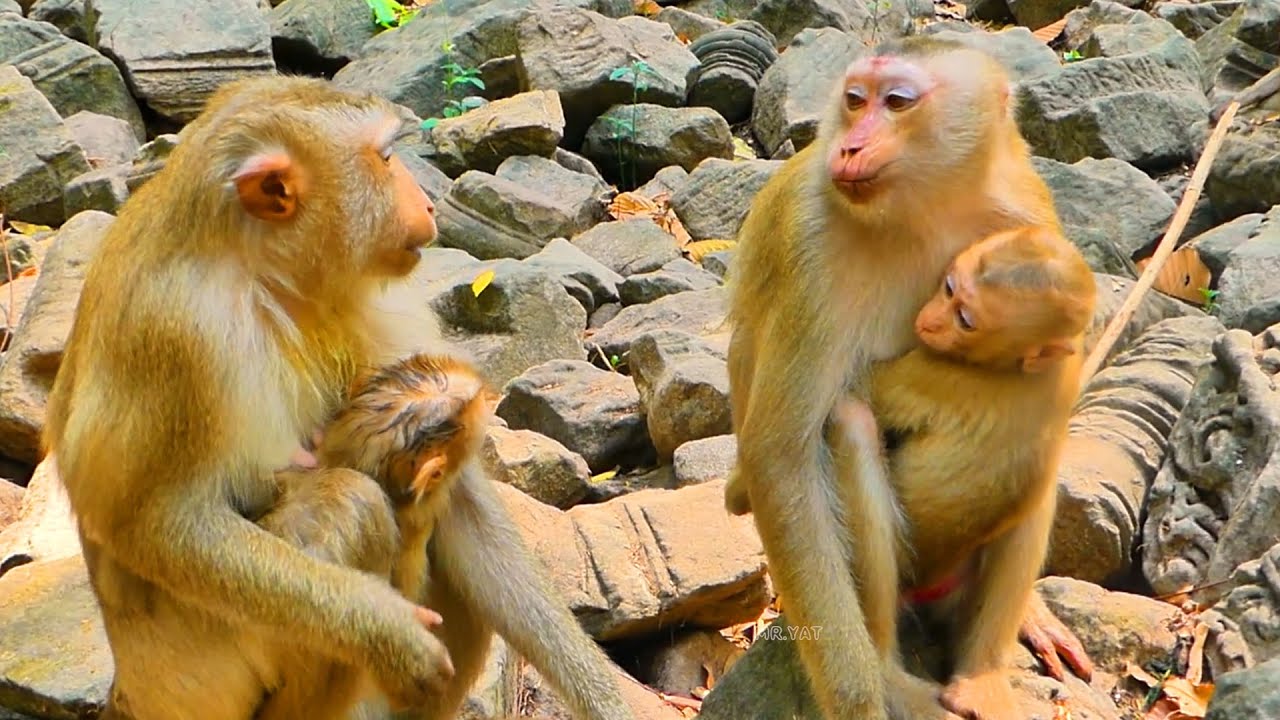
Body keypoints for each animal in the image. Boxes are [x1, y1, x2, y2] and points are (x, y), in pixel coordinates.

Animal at [42, 75, 463, 720]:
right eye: (388, 160)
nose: (430, 204)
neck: (254, 268)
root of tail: (130, 682)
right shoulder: (180, 335)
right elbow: (160, 527)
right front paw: (386, 633)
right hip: (191, 672)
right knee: (348, 506)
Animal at [722, 38, 1094, 720]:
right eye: (853, 99)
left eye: (896, 102)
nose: (848, 145)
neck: (922, 207)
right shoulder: (810, 244)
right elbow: (781, 458)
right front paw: (860, 699)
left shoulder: (1026, 206)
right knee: (847, 427)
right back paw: (889, 670)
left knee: (1043, 432)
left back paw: (984, 670)